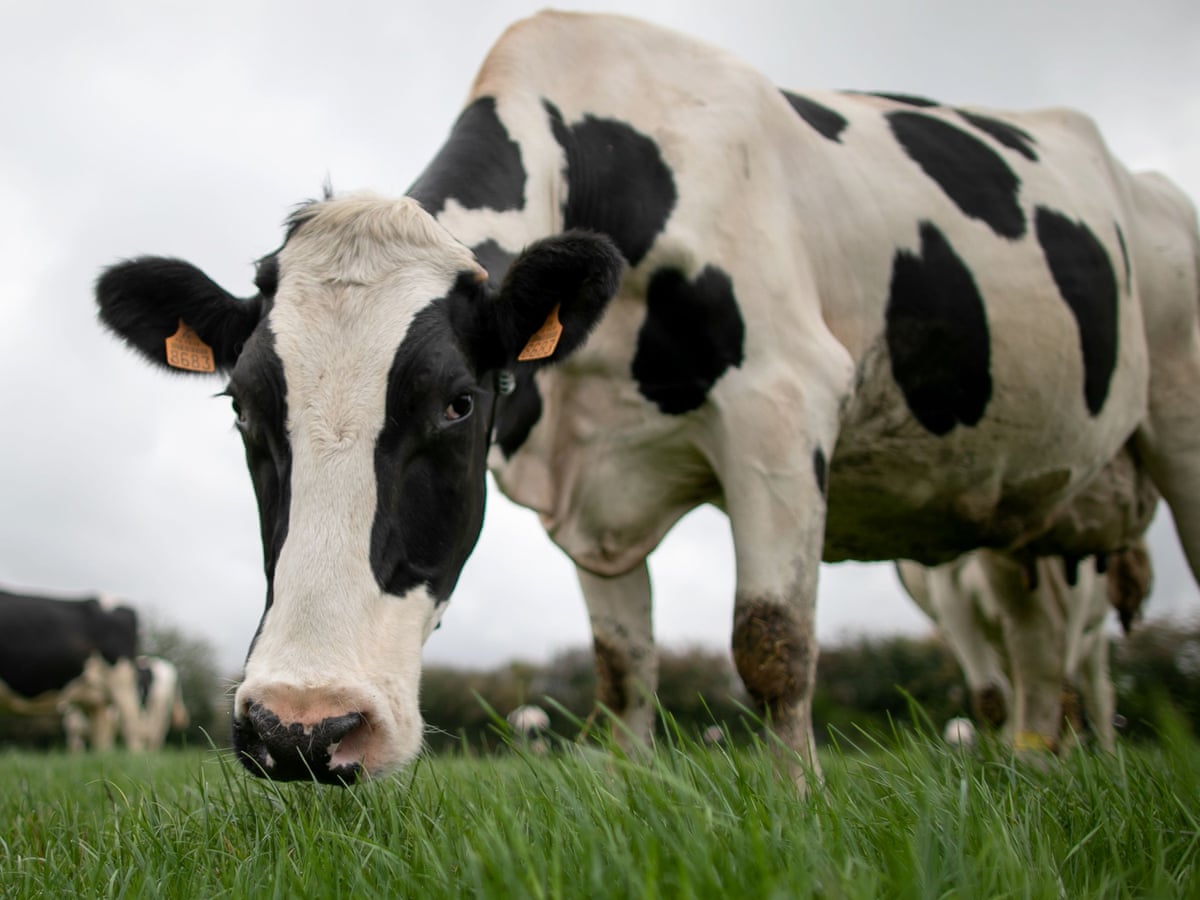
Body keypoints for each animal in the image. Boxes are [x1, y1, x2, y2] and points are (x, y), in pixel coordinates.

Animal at [899, 539, 1153, 753]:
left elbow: (1061, 695)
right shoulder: (949, 586)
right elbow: (992, 700)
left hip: (1094, 627)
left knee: (1097, 693)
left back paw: (1106, 758)